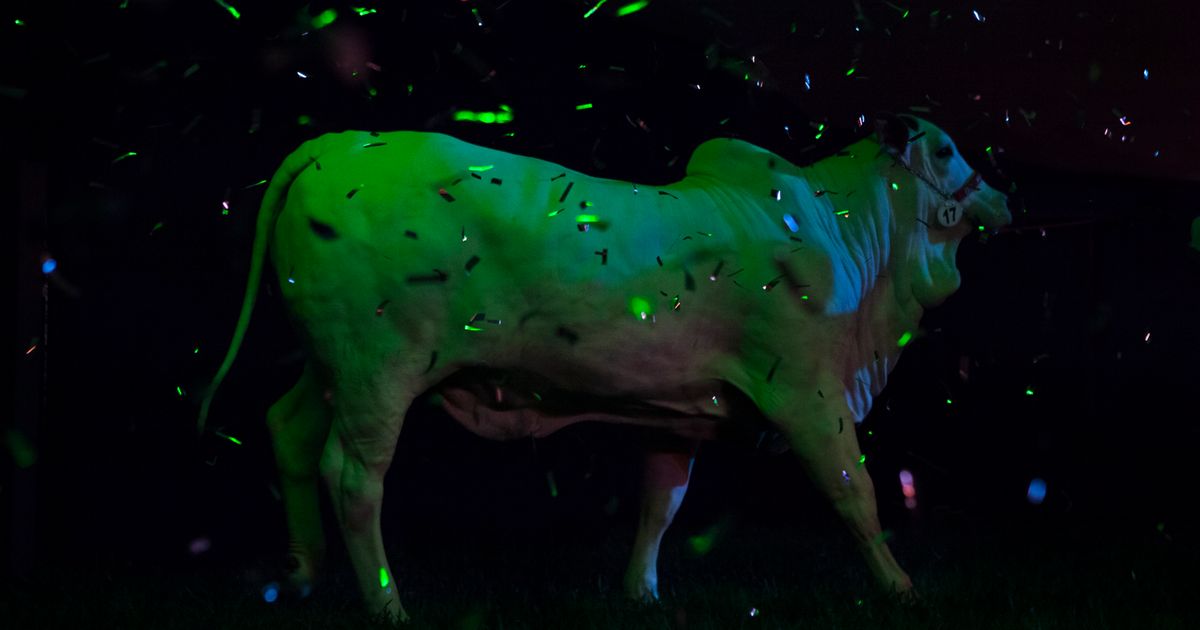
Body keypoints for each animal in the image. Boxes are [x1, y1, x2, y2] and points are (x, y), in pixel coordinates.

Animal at [199, 114, 1011, 623]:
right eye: (945, 151)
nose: (1002, 199)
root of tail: (339, 144)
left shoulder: (680, 411)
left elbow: (662, 503)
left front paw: (641, 594)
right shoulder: (809, 392)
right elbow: (856, 494)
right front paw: (902, 590)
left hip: (329, 362)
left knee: (289, 429)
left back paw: (302, 576)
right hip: (378, 368)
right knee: (353, 475)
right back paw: (389, 605)